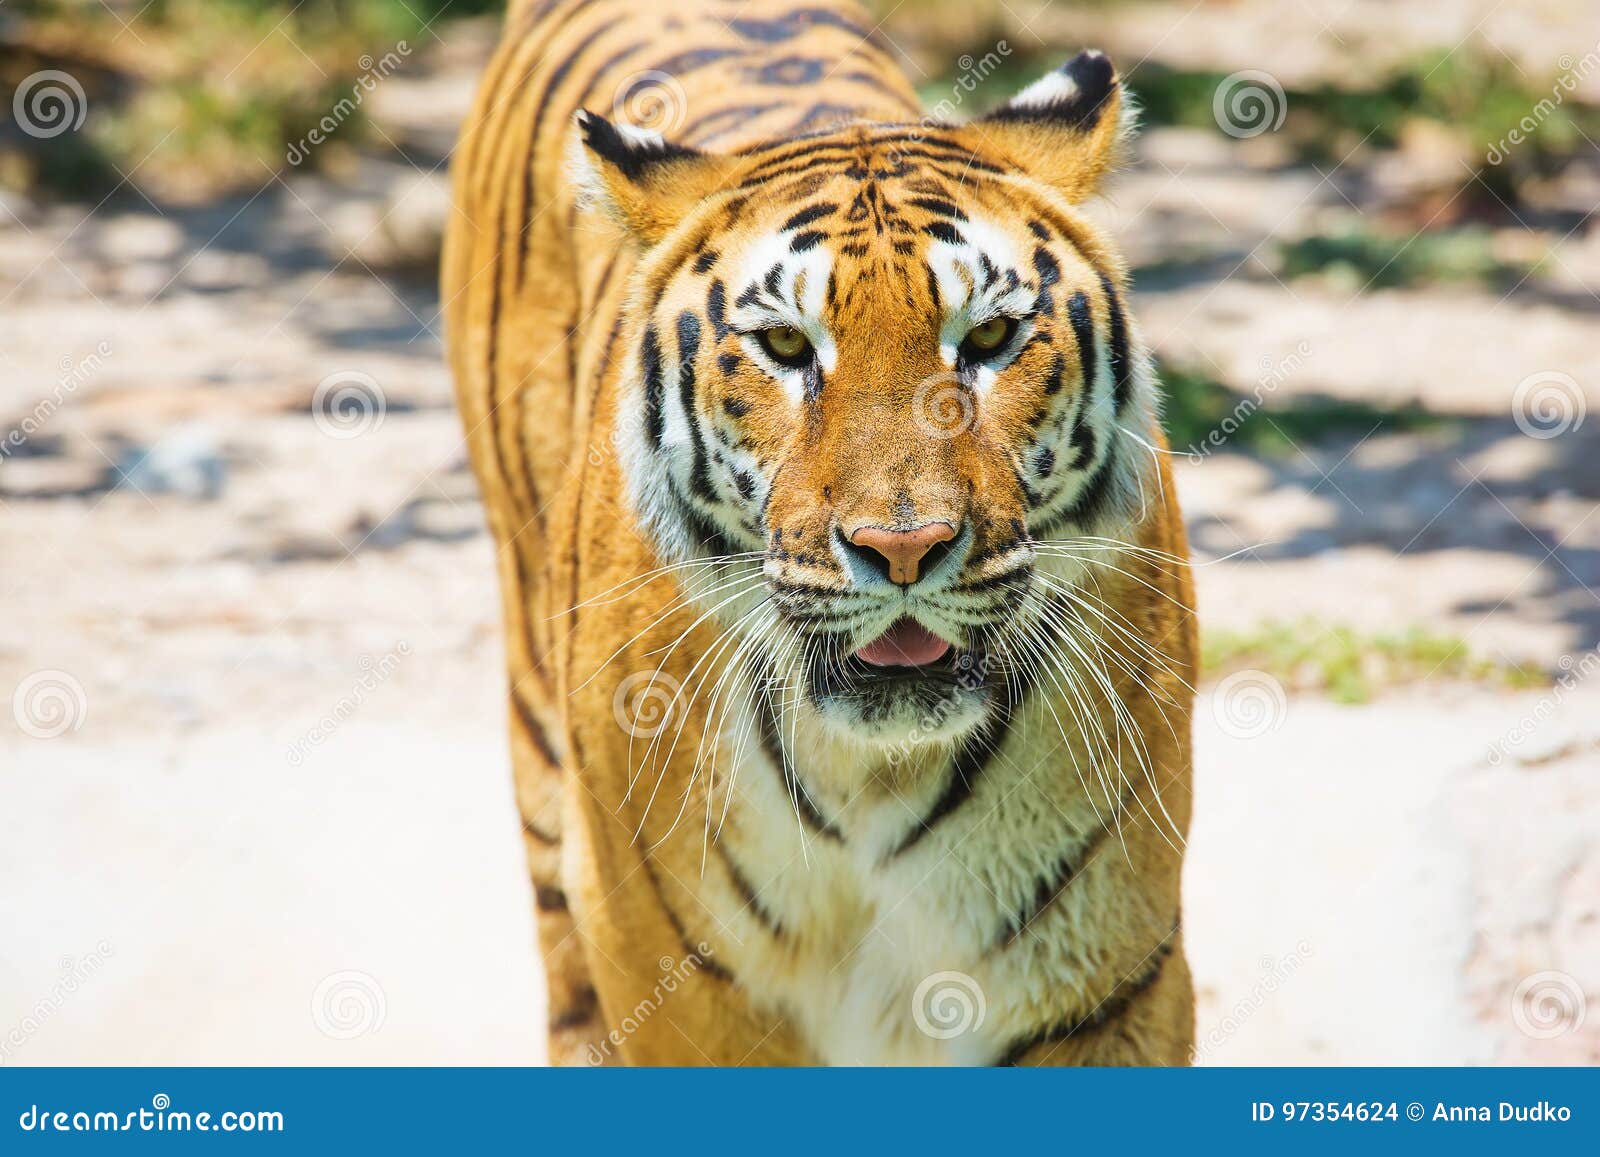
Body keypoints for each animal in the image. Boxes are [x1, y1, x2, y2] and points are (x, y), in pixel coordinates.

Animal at [442, 0, 1197, 1066]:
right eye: (786, 346)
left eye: (990, 338)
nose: (904, 547)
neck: (872, 778)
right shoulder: (675, 980)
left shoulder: (1104, 985)